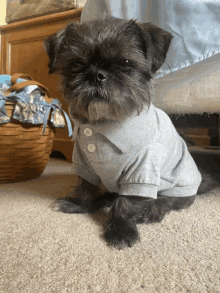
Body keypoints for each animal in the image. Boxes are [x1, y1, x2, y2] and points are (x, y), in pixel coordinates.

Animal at [44, 14, 217, 249]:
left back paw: (150, 210)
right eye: (76, 64)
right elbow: (85, 185)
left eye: (125, 63)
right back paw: (103, 200)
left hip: (177, 186)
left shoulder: (142, 170)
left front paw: (121, 230)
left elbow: (126, 203)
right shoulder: (83, 160)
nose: (96, 75)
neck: (106, 122)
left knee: (171, 201)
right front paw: (79, 204)